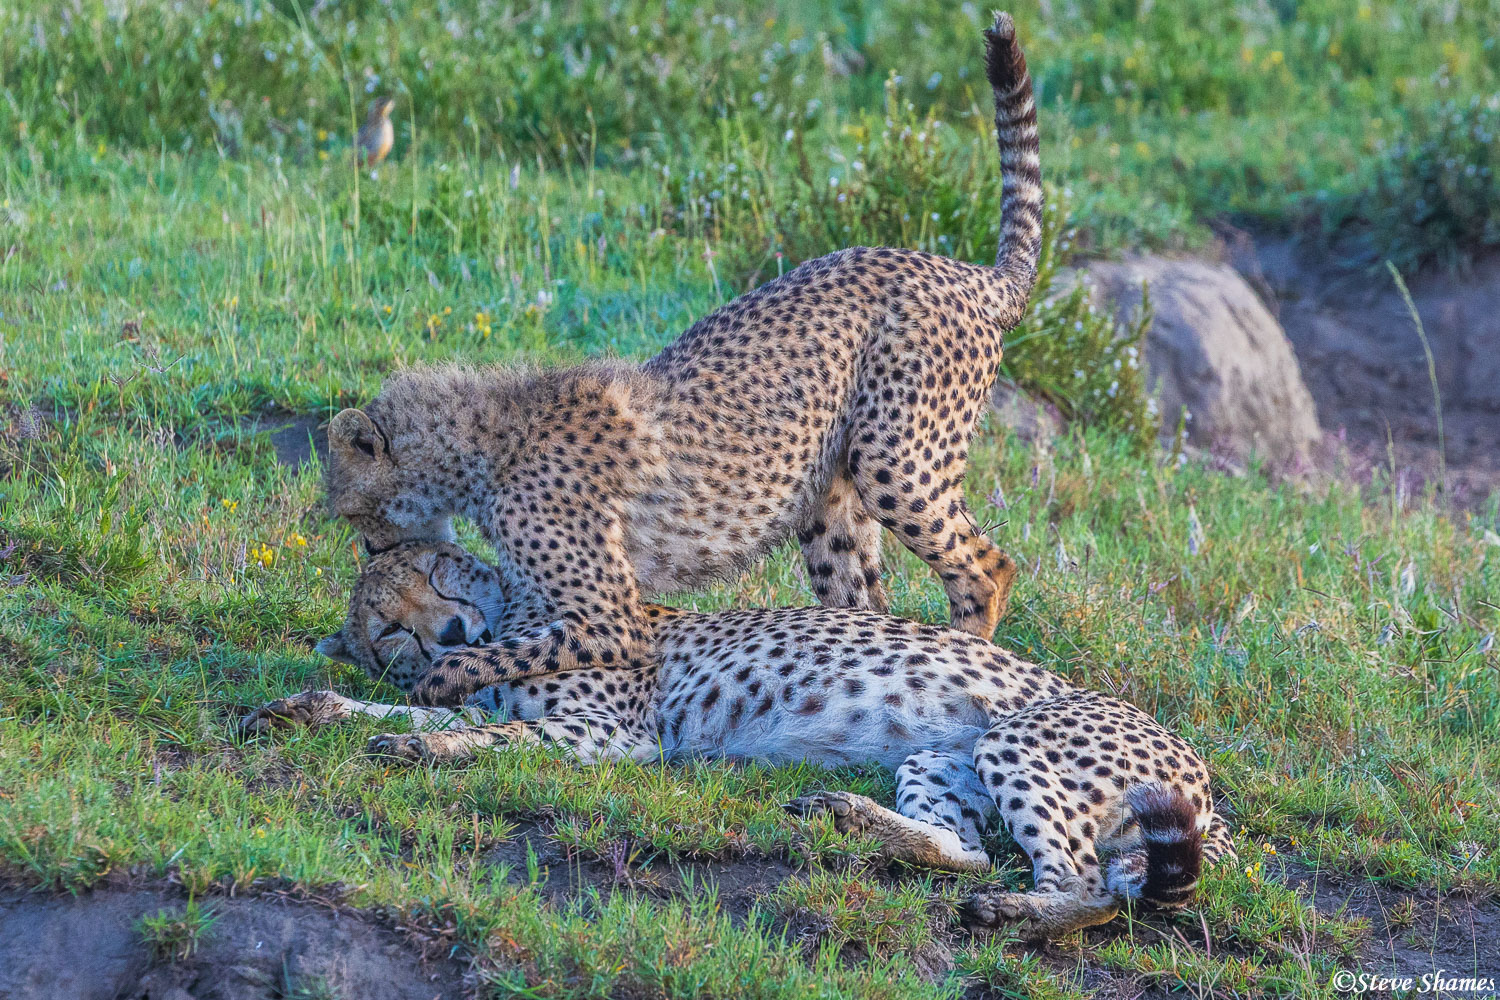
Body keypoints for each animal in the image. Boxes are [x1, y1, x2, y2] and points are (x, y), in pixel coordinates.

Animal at [244, 541, 1235, 941]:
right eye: (389, 629)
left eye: (443, 574)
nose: (448, 632)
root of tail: (1205, 780)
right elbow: (413, 714)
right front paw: (312, 710)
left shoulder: (614, 737)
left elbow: (487, 739)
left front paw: (422, 752)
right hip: (942, 757)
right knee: (968, 850)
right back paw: (849, 816)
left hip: (1024, 742)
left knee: (1087, 886)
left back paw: (1013, 917)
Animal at [320, 13, 1045, 708]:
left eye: (357, 518)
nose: (375, 551)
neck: (482, 443)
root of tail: (963, 271)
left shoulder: (609, 618)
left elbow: (499, 654)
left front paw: (441, 678)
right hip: (829, 500)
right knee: (864, 599)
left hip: (894, 458)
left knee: (987, 569)